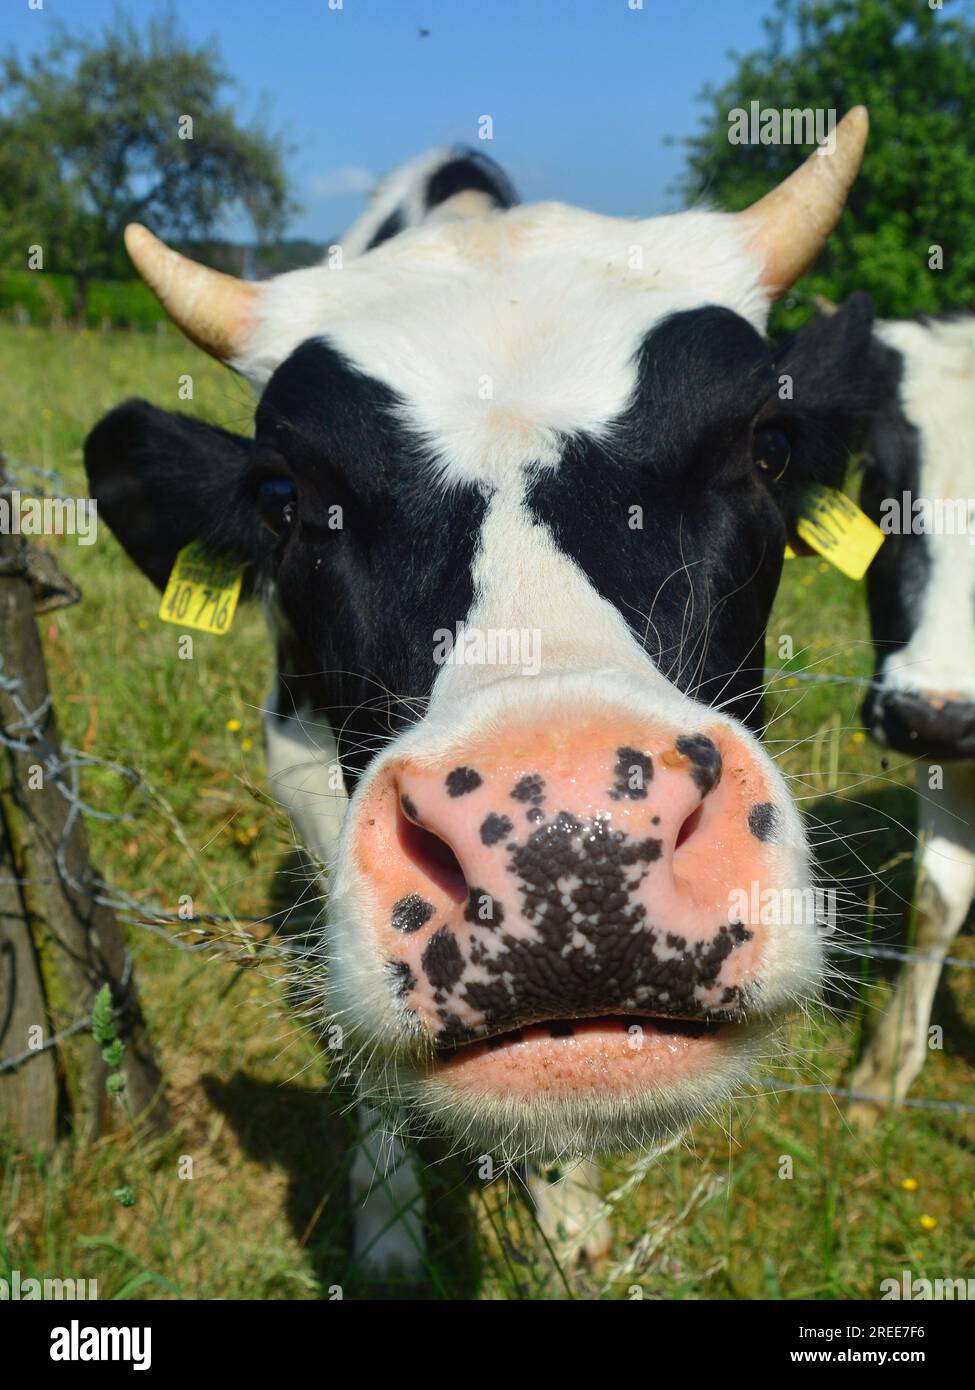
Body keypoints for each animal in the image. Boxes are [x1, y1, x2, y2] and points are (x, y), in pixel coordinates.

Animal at [84, 109, 891, 1274]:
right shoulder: (303, 775)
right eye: (284, 498)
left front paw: (570, 1216)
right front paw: (385, 1226)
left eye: (767, 447)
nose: (570, 838)